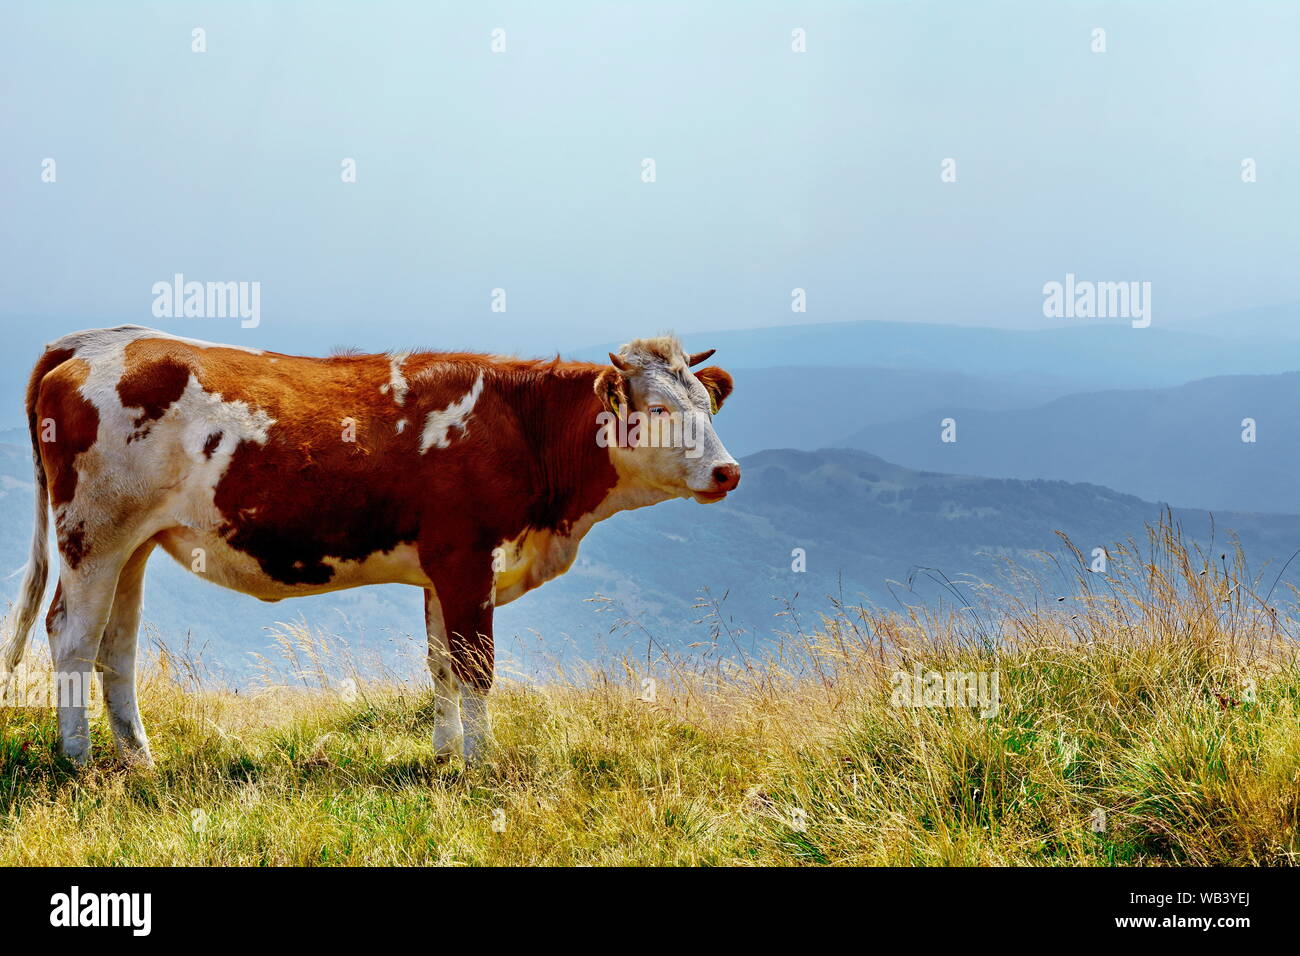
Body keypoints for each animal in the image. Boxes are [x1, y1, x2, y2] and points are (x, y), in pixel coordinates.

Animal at [0, 326, 739, 767]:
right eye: (661, 411)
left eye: (707, 405)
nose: (728, 472)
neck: (523, 430)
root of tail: (94, 340)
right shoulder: (468, 559)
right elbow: (476, 668)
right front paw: (482, 766)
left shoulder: (442, 571)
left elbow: (441, 667)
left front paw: (443, 760)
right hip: (93, 531)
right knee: (70, 635)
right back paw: (82, 763)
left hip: (135, 541)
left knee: (115, 646)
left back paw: (141, 762)